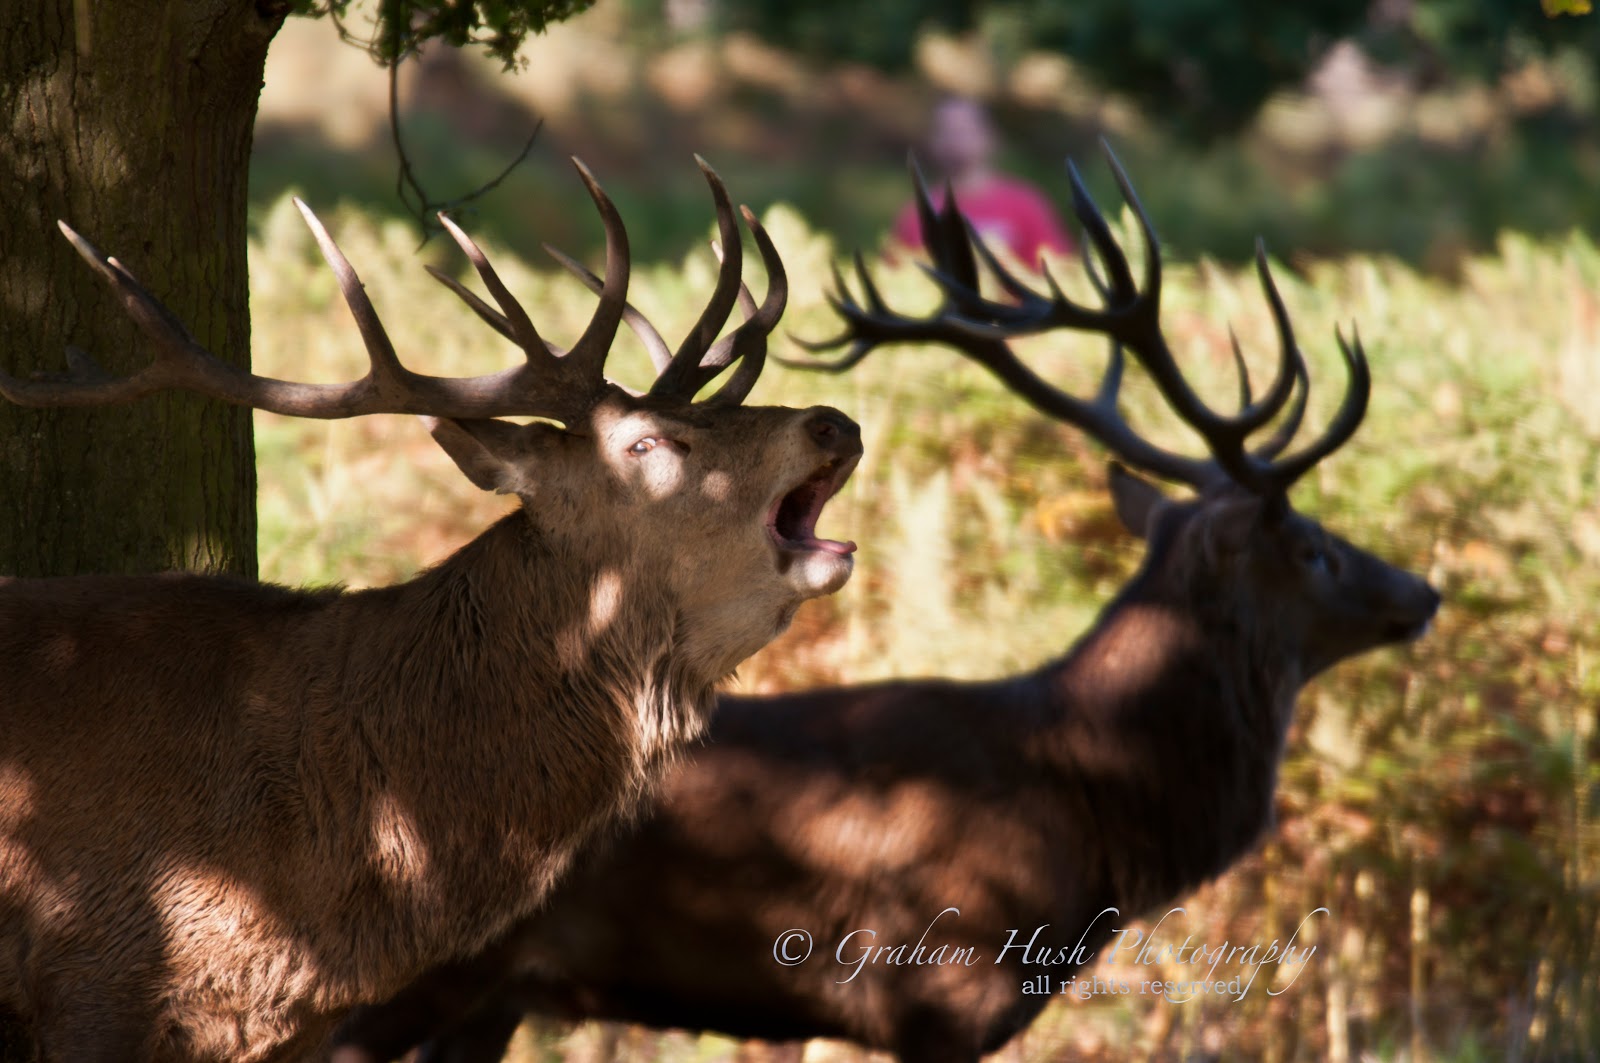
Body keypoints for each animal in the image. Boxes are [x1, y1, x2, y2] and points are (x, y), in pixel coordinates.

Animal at [324, 145, 1441, 1063]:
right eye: (1314, 549)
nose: (1424, 592)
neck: (1088, 800)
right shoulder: (937, 988)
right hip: (397, 985)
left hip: (496, 995)